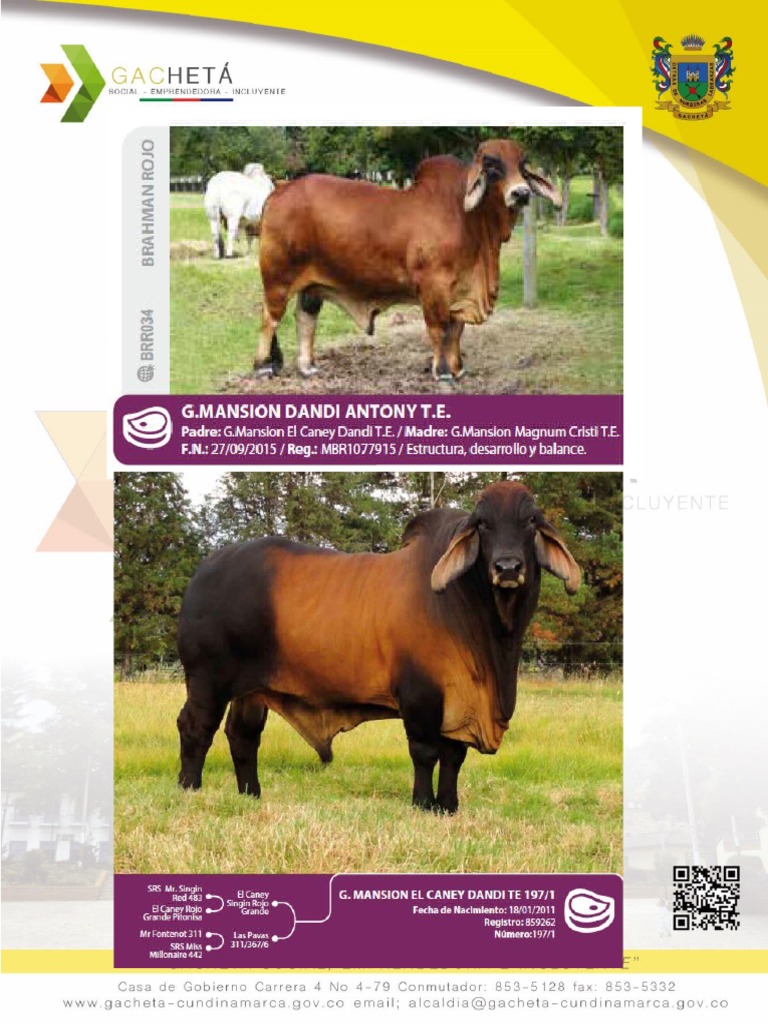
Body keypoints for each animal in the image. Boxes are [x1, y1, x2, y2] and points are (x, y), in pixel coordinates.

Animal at [176, 481, 580, 813]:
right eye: (482, 523)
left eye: (531, 521)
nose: (507, 567)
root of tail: (205, 569)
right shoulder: (420, 696)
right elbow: (425, 752)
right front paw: (423, 803)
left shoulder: (460, 701)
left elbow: (454, 756)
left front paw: (448, 806)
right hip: (207, 680)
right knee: (195, 727)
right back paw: (190, 789)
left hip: (252, 691)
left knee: (242, 736)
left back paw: (251, 794)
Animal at [255, 140, 560, 382]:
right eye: (492, 165)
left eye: (522, 166)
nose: (521, 193)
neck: (471, 222)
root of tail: (279, 190)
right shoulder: (434, 287)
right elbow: (439, 330)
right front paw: (443, 372)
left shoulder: (459, 292)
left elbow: (456, 331)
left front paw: (458, 369)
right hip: (278, 278)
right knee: (270, 319)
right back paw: (263, 368)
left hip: (311, 285)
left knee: (305, 317)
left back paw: (308, 367)